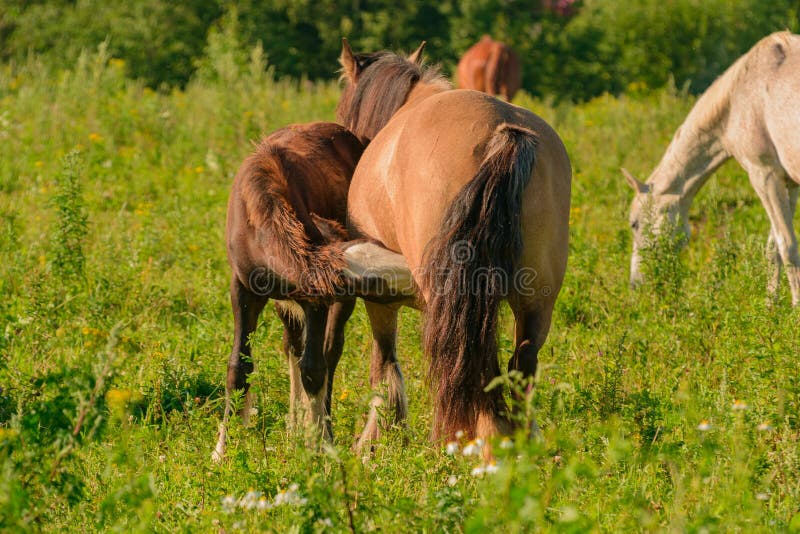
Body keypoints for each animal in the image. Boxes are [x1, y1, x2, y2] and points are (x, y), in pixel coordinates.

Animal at [213, 122, 364, 461]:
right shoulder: (242, 290)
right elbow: (238, 368)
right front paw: (222, 451)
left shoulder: (314, 300)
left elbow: (314, 369)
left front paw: (321, 448)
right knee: (293, 345)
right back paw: (294, 428)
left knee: (329, 351)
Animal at [337, 39, 571, 446]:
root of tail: (503, 132)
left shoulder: (378, 297)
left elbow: (383, 365)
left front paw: (374, 439)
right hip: (537, 302)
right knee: (518, 367)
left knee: (470, 367)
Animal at [624, 32, 800, 304]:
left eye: (634, 223)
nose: (636, 285)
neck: (739, 96)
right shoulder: (787, 183)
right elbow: (773, 248)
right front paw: (771, 306)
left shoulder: (763, 174)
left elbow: (786, 245)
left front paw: (794, 306)